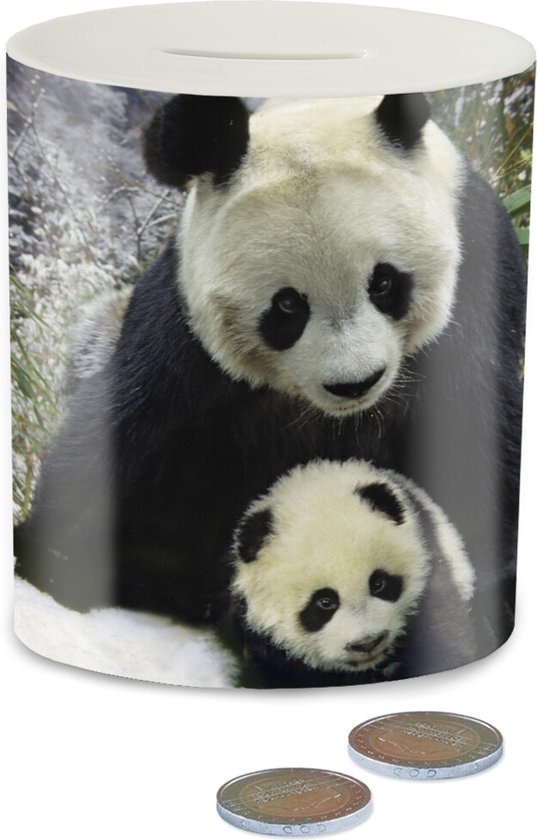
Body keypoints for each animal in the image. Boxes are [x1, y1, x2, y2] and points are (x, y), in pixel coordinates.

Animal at [15, 94, 525, 656]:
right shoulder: (185, 340)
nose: (355, 383)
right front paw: (55, 560)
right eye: (287, 306)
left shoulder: (476, 286)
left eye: (384, 282)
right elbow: (125, 436)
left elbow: (477, 434)